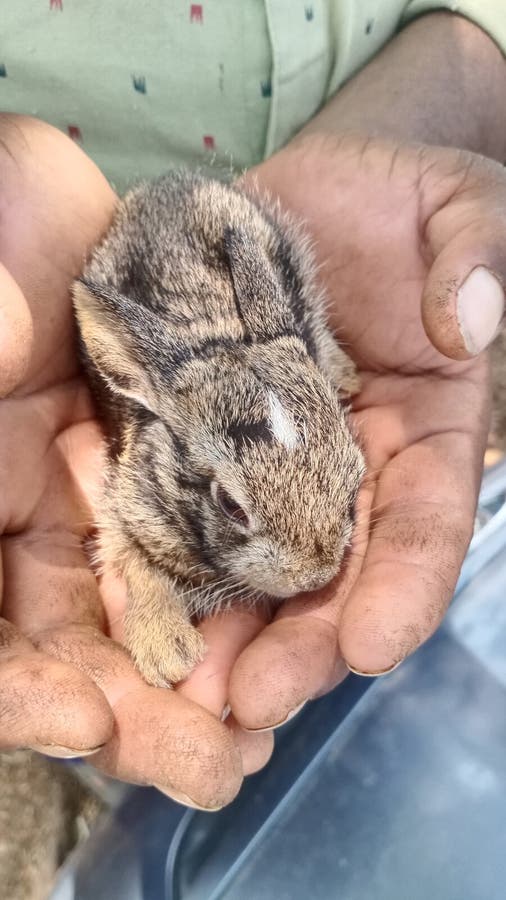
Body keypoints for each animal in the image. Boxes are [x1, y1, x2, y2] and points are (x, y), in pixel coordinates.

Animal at [73, 171, 365, 687]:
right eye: (230, 505)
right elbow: (140, 570)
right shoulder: (124, 511)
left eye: (354, 477)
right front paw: (167, 654)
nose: (316, 575)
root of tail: (170, 184)